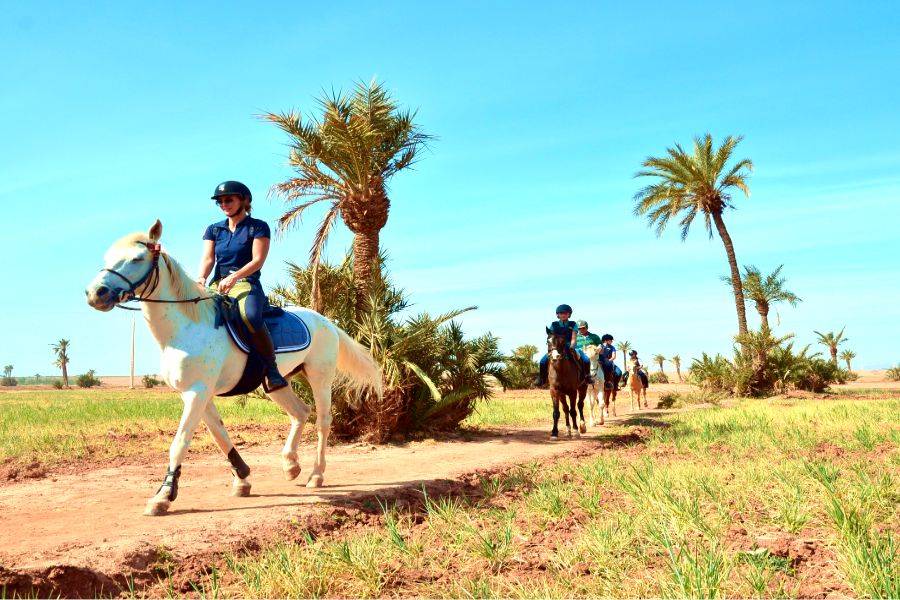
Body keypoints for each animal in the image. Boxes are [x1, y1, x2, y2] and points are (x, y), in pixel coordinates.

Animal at [85, 220, 382, 516]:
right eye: (107, 258)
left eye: (137, 259)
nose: (95, 294)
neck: (186, 328)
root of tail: (326, 321)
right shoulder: (198, 395)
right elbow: (220, 435)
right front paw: (242, 478)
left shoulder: (197, 393)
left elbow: (179, 443)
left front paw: (163, 496)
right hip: (277, 383)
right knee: (300, 412)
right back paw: (290, 465)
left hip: (320, 378)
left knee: (322, 421)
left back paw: (316, 475)